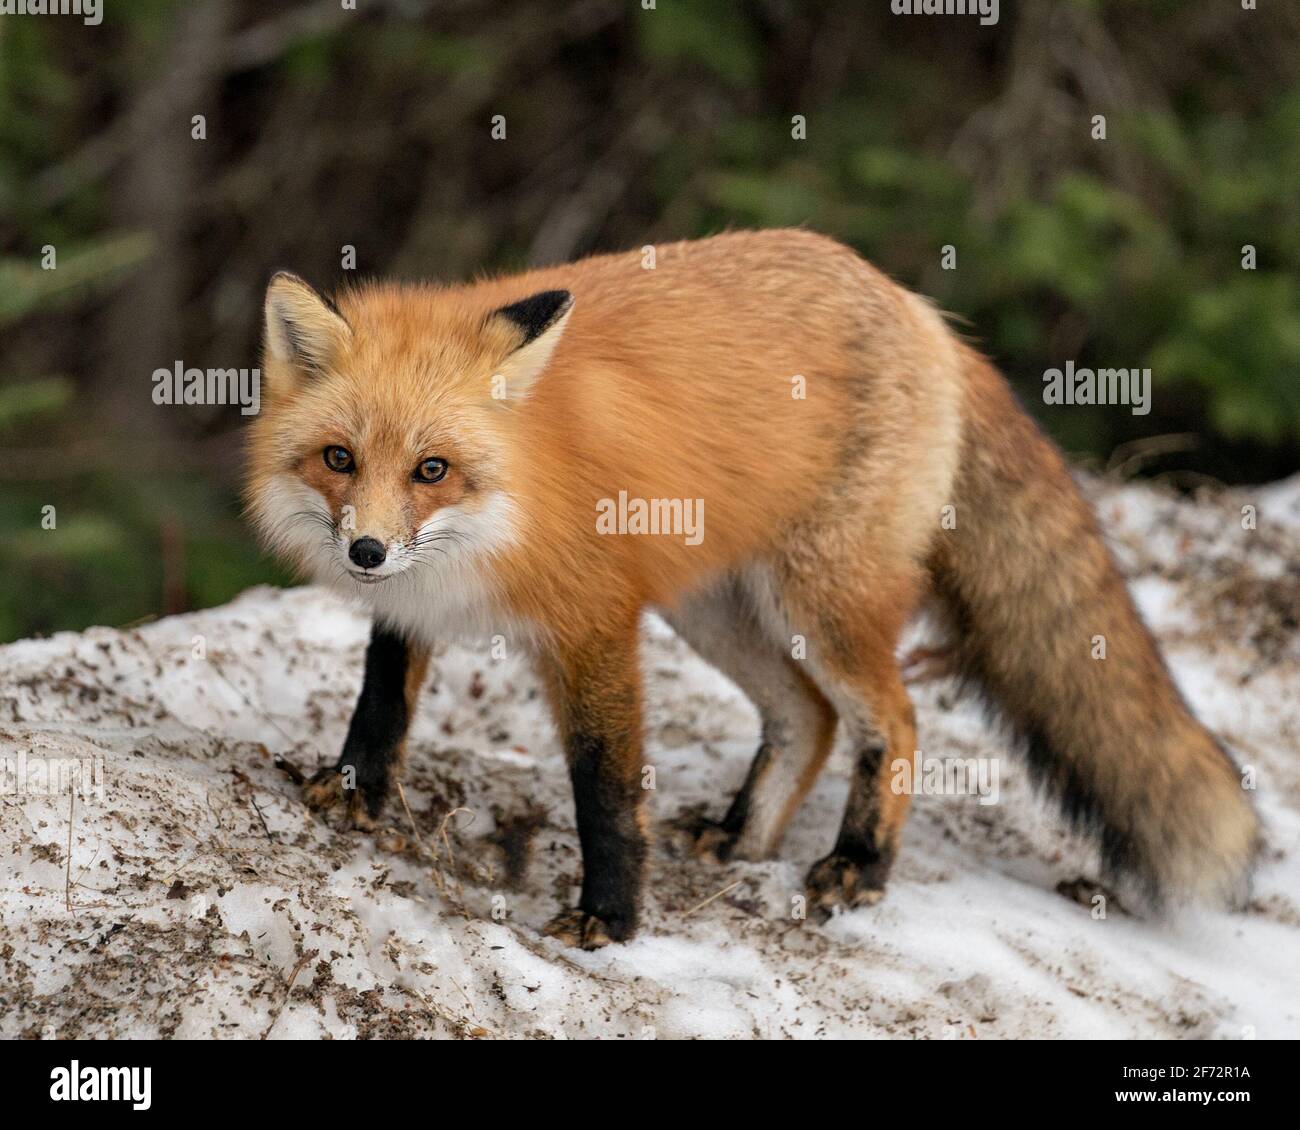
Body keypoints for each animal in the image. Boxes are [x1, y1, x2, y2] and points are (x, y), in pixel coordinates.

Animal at [246, 228, 1259, 948]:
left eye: (433, 469)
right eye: (339, 459)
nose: (366, 552)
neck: (517, 495)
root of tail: (922, 311)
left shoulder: (596, 627)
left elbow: (606, 787)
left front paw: (611, 919)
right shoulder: (413, 606)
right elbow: (381, 704)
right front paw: (352, 794)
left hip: (820, 602)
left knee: (895, 720)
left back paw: (859, 865)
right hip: (718, 610)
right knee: (807, 719)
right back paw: (742, 839)